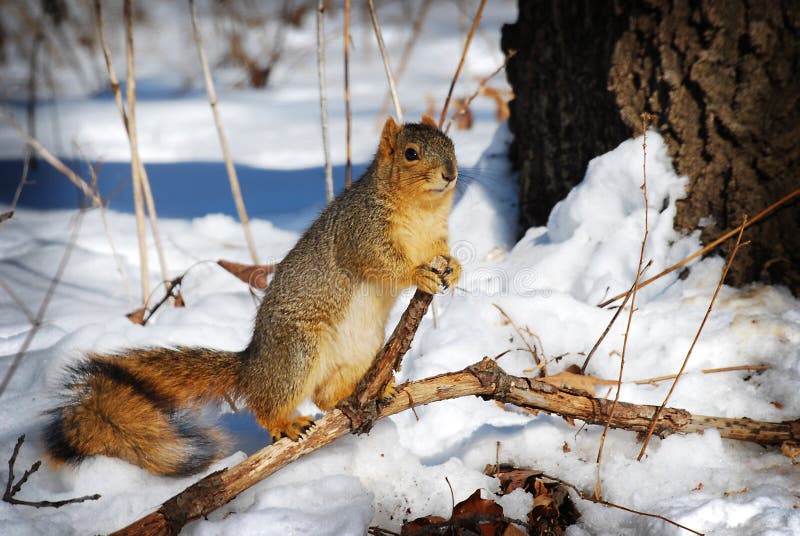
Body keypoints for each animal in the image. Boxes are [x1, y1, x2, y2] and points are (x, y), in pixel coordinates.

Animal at [43, 116, 461, 476]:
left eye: (451, 145)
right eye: (411, 153)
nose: (451, 173)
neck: (420, 211)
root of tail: (252, 366)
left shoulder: (435, 238)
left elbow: (443, 252)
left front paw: (454, 269)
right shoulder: (361, 232)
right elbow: (380, 262)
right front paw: (417, 274)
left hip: (360, 350)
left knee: (327, 396)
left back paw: (371, 390)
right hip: (296, 353)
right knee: (269, 402)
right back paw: (284, 424)